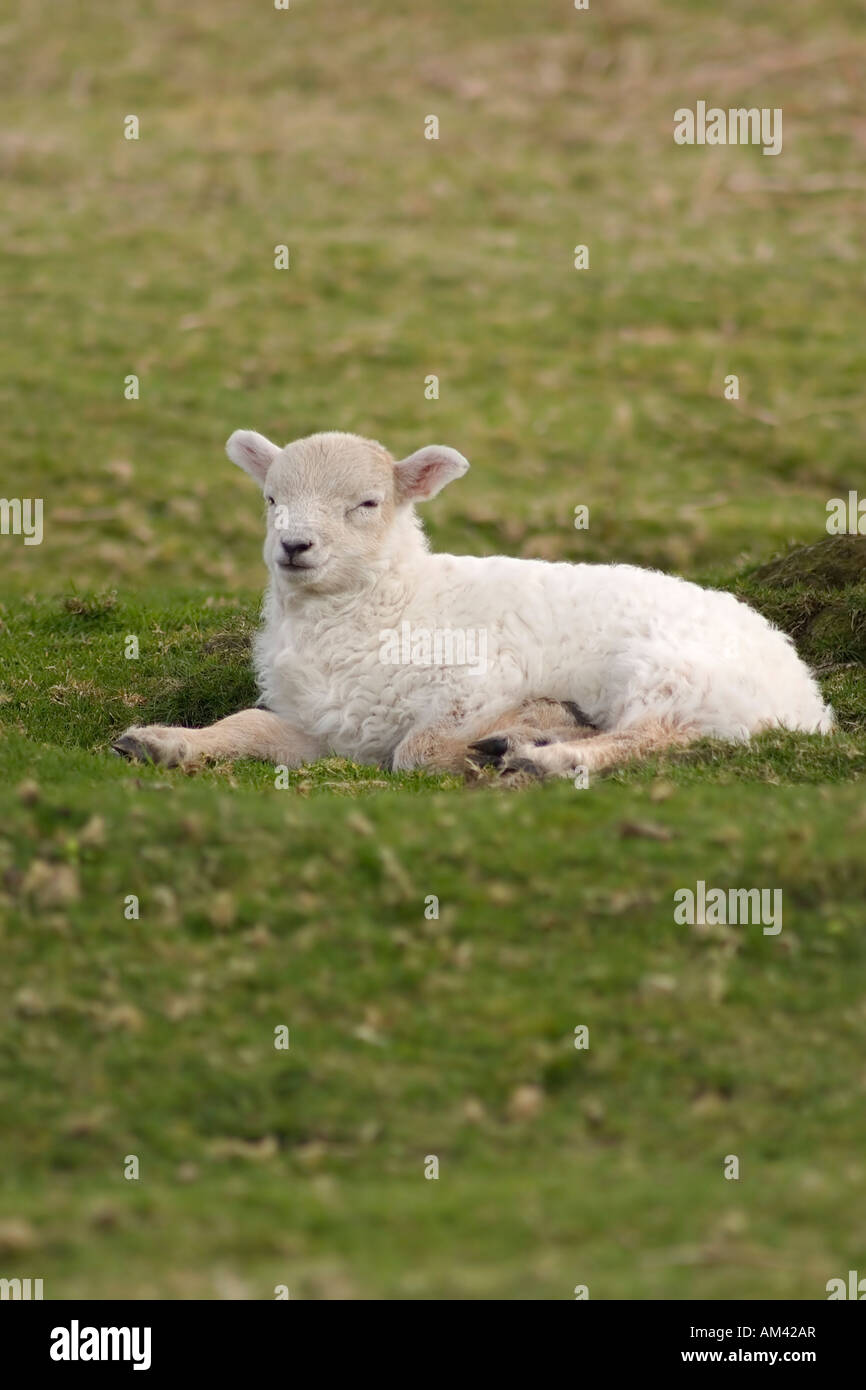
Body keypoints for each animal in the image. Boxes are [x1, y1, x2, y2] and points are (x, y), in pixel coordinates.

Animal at [113, 429, 834, 780]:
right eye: (271, 498)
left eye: (368, 502)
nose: (294, 546)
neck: (394, 601)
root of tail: (807, 698)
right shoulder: (330, 725)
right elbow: (247, 727)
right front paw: (162, 742)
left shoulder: (479, 680)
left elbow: (417, 750)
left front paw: (493, 746)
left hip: (676, 674)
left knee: (654, 741)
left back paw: (544, 754)